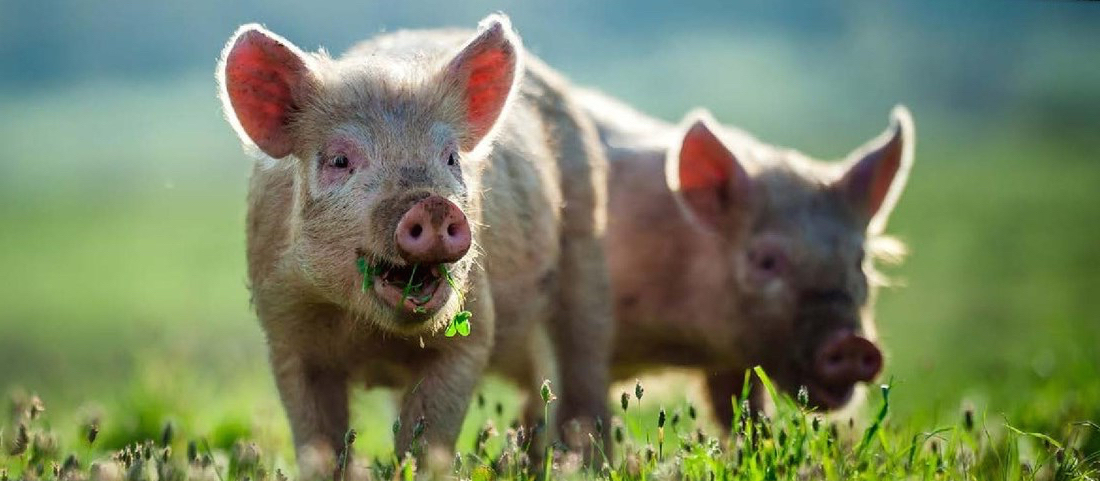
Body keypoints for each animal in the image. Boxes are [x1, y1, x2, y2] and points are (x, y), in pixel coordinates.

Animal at [217, 15, 612, 477]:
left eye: (450, 157)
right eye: (339, 160)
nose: (432, 203)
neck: (371, 334)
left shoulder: (471, 330)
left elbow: (426, 439)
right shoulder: (285, 332)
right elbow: (320, 442)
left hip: (587, 246)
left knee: (581, 370)